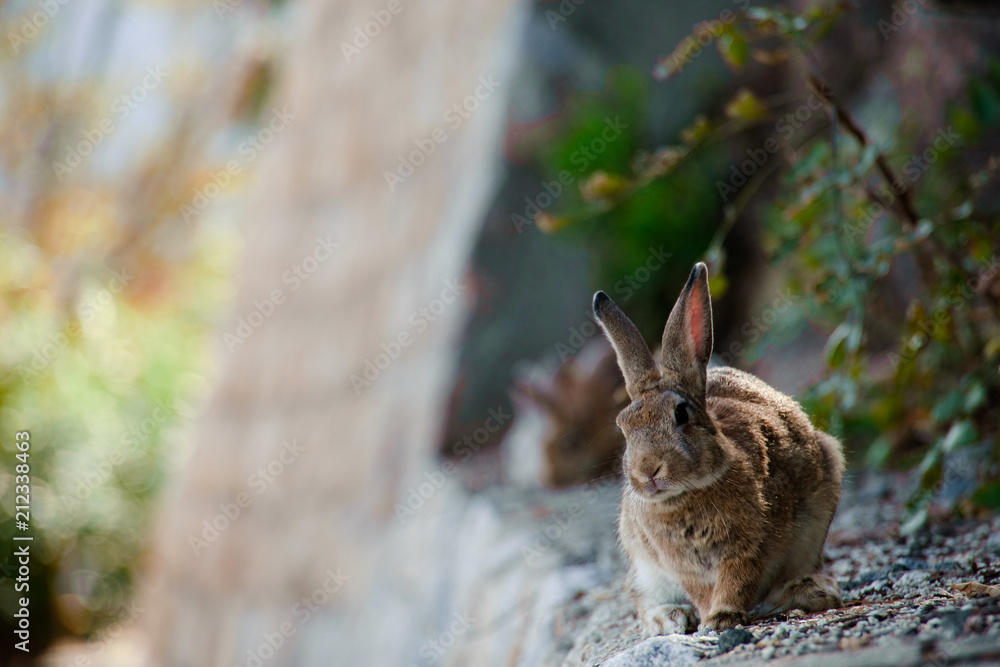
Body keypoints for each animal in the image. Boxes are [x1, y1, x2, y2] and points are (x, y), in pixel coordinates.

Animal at [592, 262, 845, 635]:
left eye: (681, 414)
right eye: (623, 427)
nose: (647, 470)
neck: (686, 495)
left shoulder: (750, 546)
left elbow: (737, 580)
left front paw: (722, 617)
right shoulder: (681, 566)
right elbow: (700, 590)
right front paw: (711, 617)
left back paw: (813, 591)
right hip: (644, 567)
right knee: (640, 596)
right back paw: (670, 617)